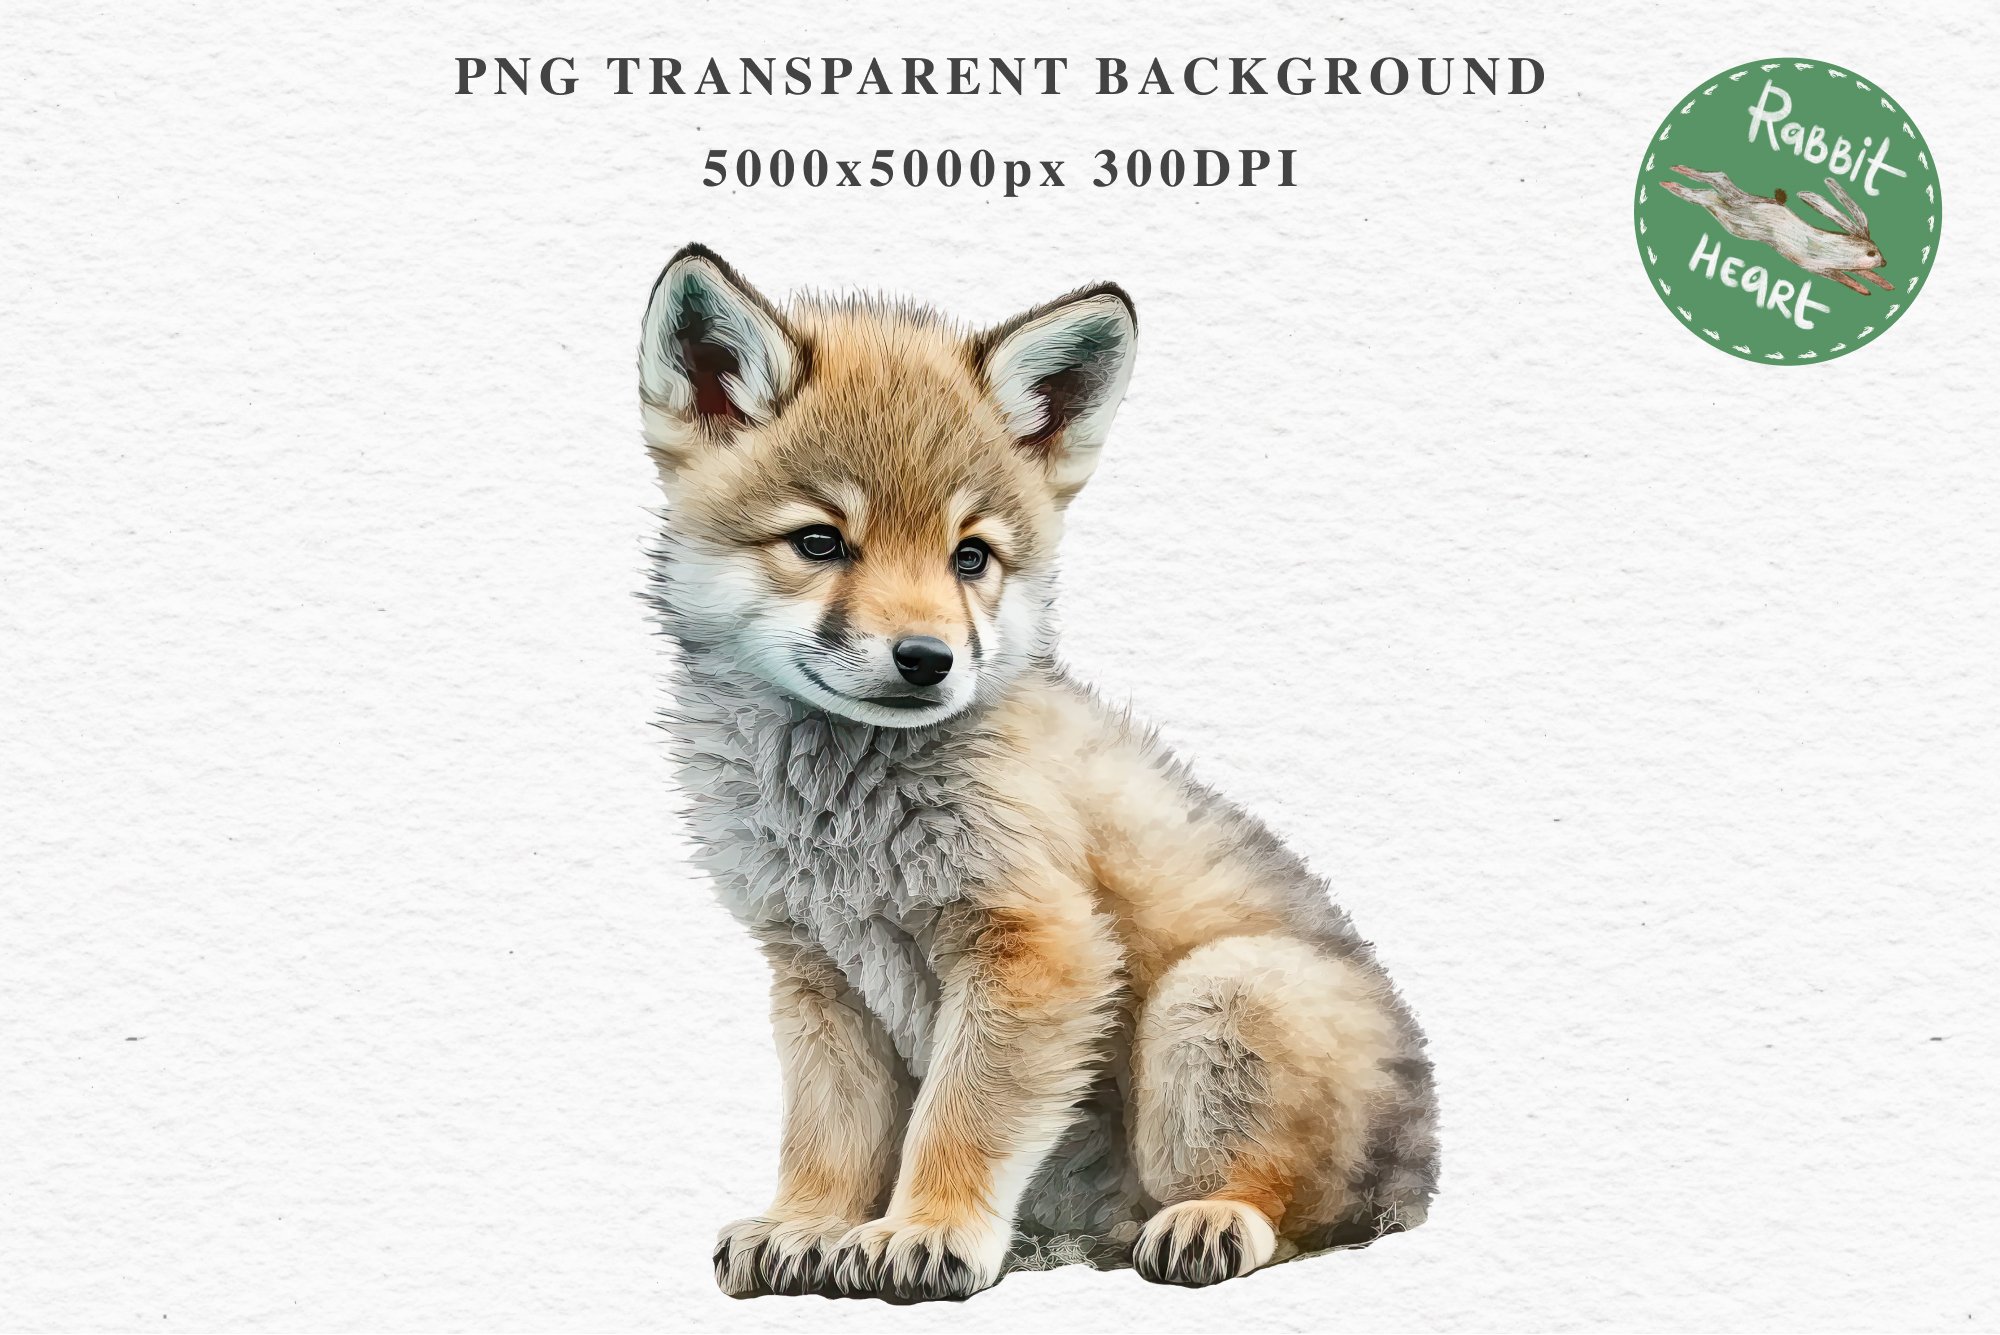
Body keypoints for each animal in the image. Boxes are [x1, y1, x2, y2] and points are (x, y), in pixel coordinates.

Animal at [637, 244, 1438, 1303]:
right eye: (819, 541)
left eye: (971, 557)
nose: (927, 659)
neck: (843, 816)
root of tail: (1423, 1158)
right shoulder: (818, 975)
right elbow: (827, 1136)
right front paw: (808, 1224)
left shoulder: (1039, 946)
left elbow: (958, 1118)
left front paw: (926, 1229)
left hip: (1216, 995)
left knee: (1296, 1210)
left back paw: (1209, 1218)